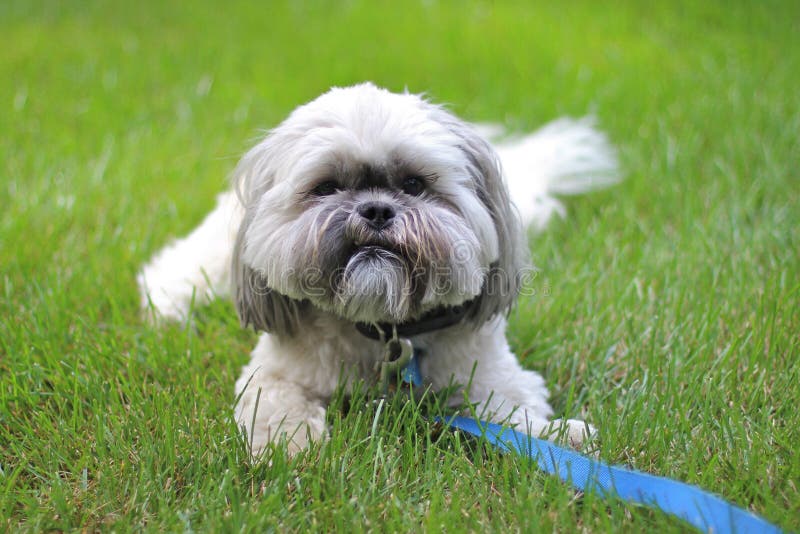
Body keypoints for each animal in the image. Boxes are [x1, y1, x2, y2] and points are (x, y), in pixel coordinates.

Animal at [136, 81, 620, 458]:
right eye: (327, 187)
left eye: (414, 185)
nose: (376, 209)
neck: (382, 328)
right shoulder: (274, 371)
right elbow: (276, 404)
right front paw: (288, 445)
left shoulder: (487, 370)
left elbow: (514, 410)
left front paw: (559, 438)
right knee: (178, 266)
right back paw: (168, 310)